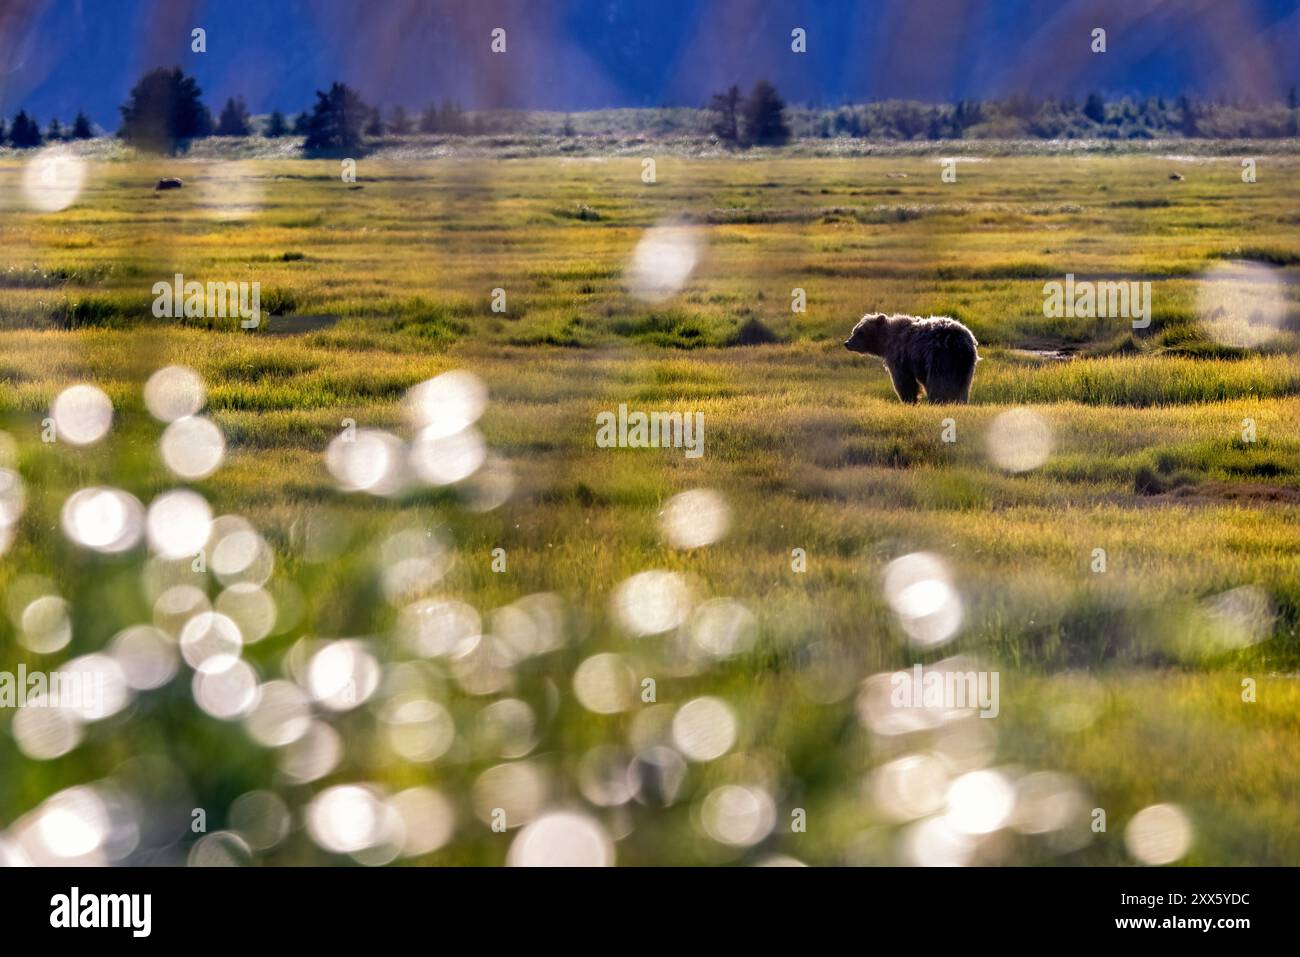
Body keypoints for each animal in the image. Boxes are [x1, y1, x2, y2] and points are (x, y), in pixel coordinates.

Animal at [844, 313, 980, 404]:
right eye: (854, 330)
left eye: (859, 332)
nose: (847, 343)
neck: (885, 343)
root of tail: (960, 341)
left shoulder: (900, 356)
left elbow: (903, 381)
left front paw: (909, 400)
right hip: (964, 363)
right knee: (963, 384)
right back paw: (960, 401)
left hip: (940, 356)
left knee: (939, 381)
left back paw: (937, 400)